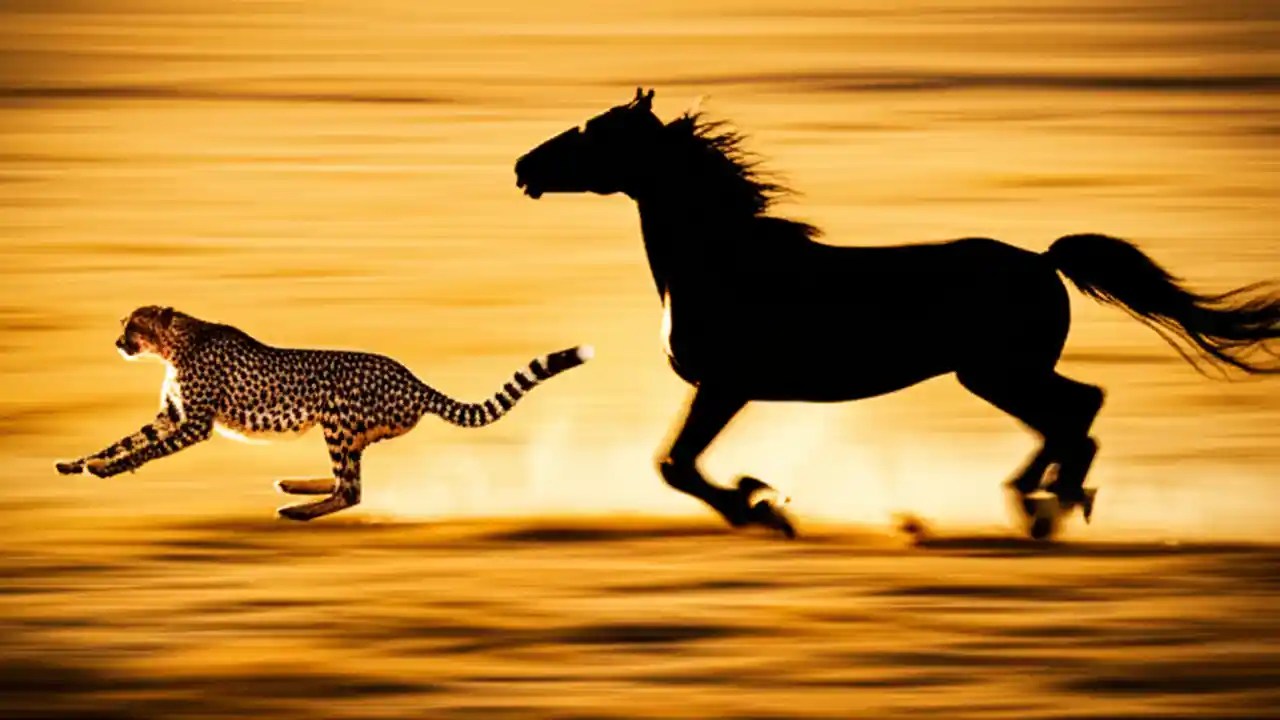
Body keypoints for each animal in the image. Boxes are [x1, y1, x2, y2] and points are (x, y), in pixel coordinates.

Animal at [55, 305, 593, 521]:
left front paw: (107, 470)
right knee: (344, 480)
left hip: (337, 418)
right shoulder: (170, 416)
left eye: (134, 326)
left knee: (351, 490)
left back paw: (297, 509)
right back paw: (296, 486)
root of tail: (413, 379)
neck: (177, 344)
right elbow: (124, 440)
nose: (118, 343)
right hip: (344, 431)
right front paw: (79, 462)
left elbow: (144, 451)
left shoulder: (193, 426)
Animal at [513, 87, 1280, 539]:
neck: (719, 260)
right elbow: (677, 462)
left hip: (996, 373)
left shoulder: (726, 385)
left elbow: (675, 464)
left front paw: (760, 504)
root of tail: (1043, 259)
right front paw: (760, 499)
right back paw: (1048, 499)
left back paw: (1040, 504)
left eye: (593, 132)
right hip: (999, 374)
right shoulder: (727, 388)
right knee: (1075, 414)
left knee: (1077, 410)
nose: (524, 167)